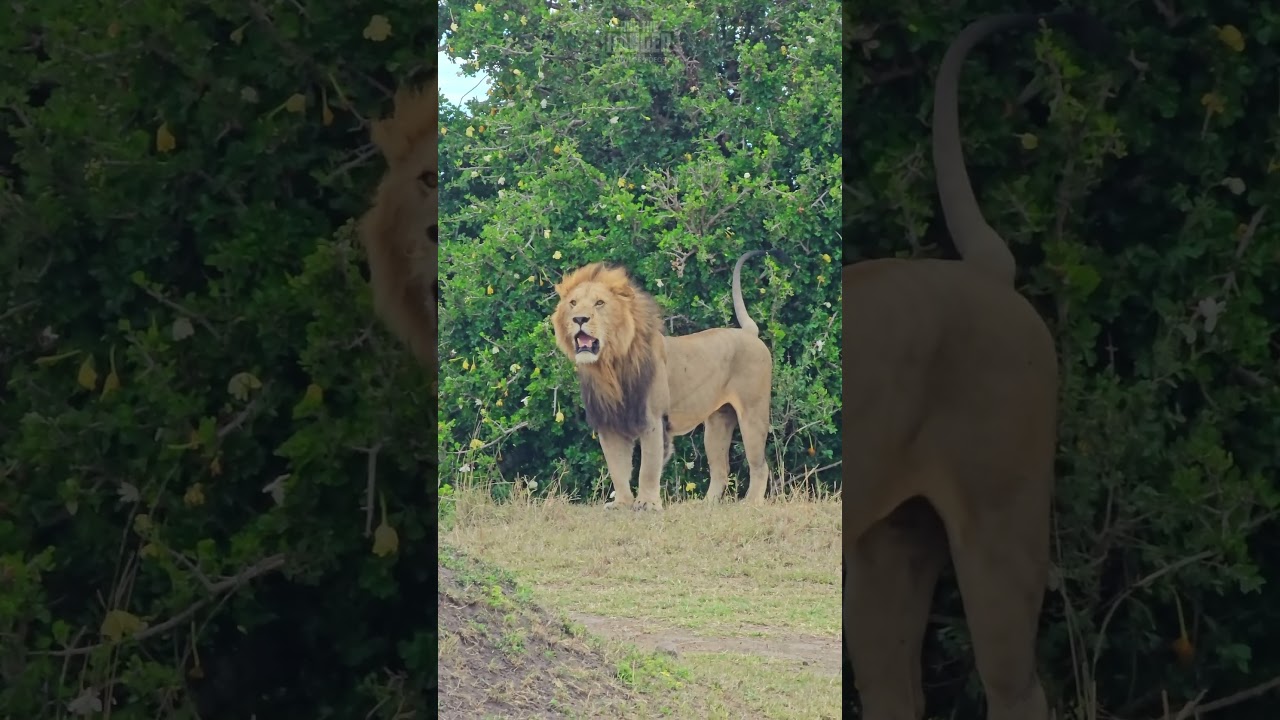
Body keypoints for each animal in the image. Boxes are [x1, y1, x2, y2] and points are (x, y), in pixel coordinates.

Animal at [552, 251, 776, 511]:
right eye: (573, 303)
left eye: (599, 303)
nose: (579, 318)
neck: (609, 367)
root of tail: (749, 332)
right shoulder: (609, 424)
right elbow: (617, 468)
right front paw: (622, 504)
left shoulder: (652, 420)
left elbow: (648, 467)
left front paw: (647, 504)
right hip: (717, 422)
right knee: (721, 469)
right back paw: (704, 505)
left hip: (753, 414)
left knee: (760, 465)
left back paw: (751, 502)